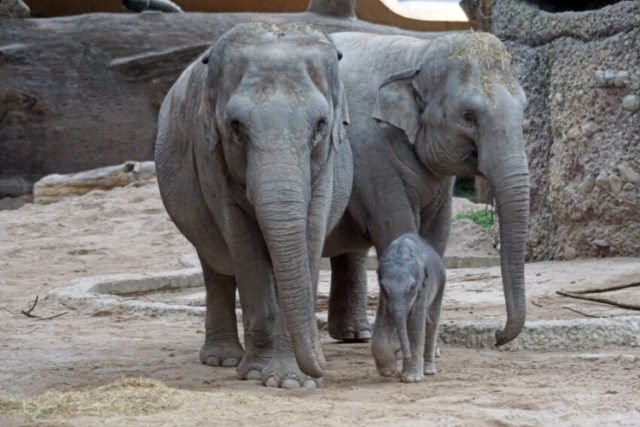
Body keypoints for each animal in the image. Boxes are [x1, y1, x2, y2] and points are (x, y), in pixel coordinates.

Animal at [155, 23, 352, 389]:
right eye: (236, 127)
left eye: (320, 125)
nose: (322, 365)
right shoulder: (209, 155)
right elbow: (242, 241)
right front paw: (260, 373)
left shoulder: (327, 165)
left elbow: (310, 233)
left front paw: (293, 381)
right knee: (214, 263)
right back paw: (223, 359)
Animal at [322, 31, 529, 359]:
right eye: (468, 115)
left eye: (523, 107)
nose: (497, 336)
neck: (419, 53)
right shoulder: (373, 157)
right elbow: (397, 227)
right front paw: (401, 348)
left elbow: (438, 236)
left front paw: (431, 351)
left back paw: (356, 336)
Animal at [372, 233, 446, 383]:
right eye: (383, 287)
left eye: (412, 286)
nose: (407, 356)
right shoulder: (384, 298)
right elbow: (383, 321)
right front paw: (388, 370)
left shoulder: (422, 289)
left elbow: (415, 325)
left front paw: (411, 379)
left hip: (440, 284)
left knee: (431, 324)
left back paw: (429, 371)